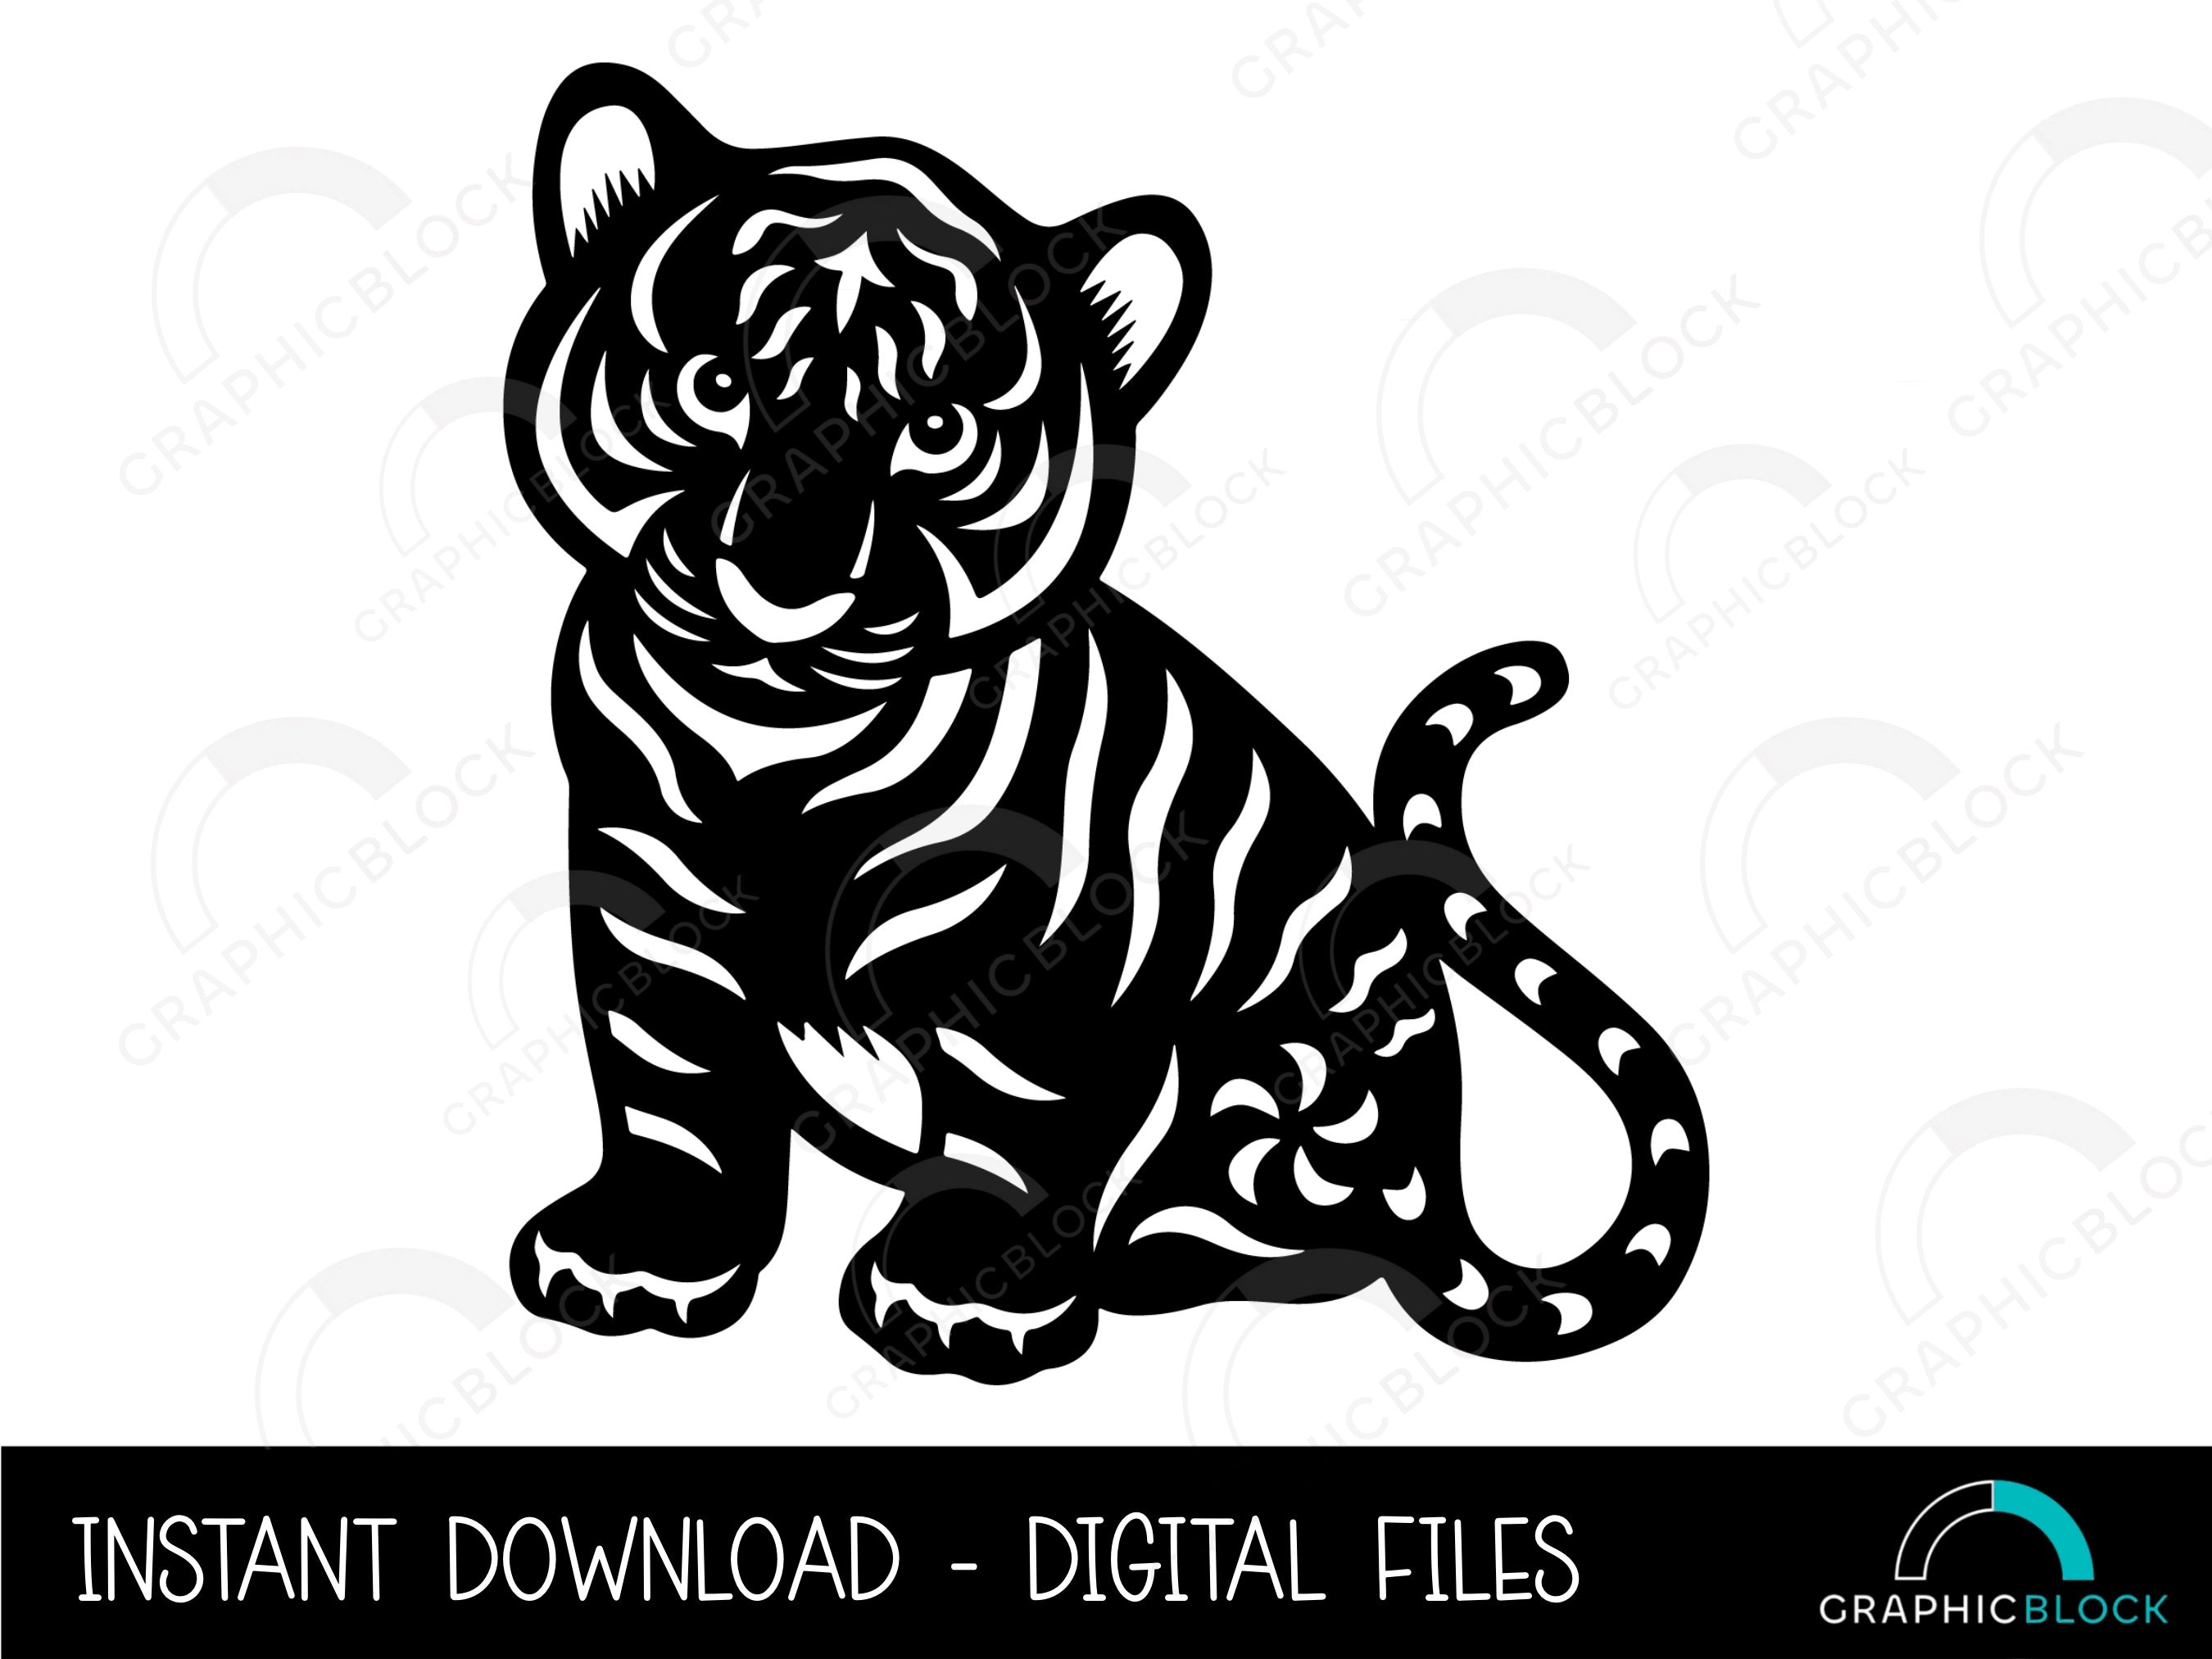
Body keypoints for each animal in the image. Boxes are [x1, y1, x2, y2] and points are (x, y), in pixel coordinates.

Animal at [503, 63, 1708, 1384]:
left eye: (937, 429)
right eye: (717, 384)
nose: (789, 576)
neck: (778, 729)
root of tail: (1445, 1193)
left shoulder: (1039, 953)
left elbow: (1007, 1128)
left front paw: (964, 1299)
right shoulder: (642, 896)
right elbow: (671, 1088)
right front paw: (640, 1258)